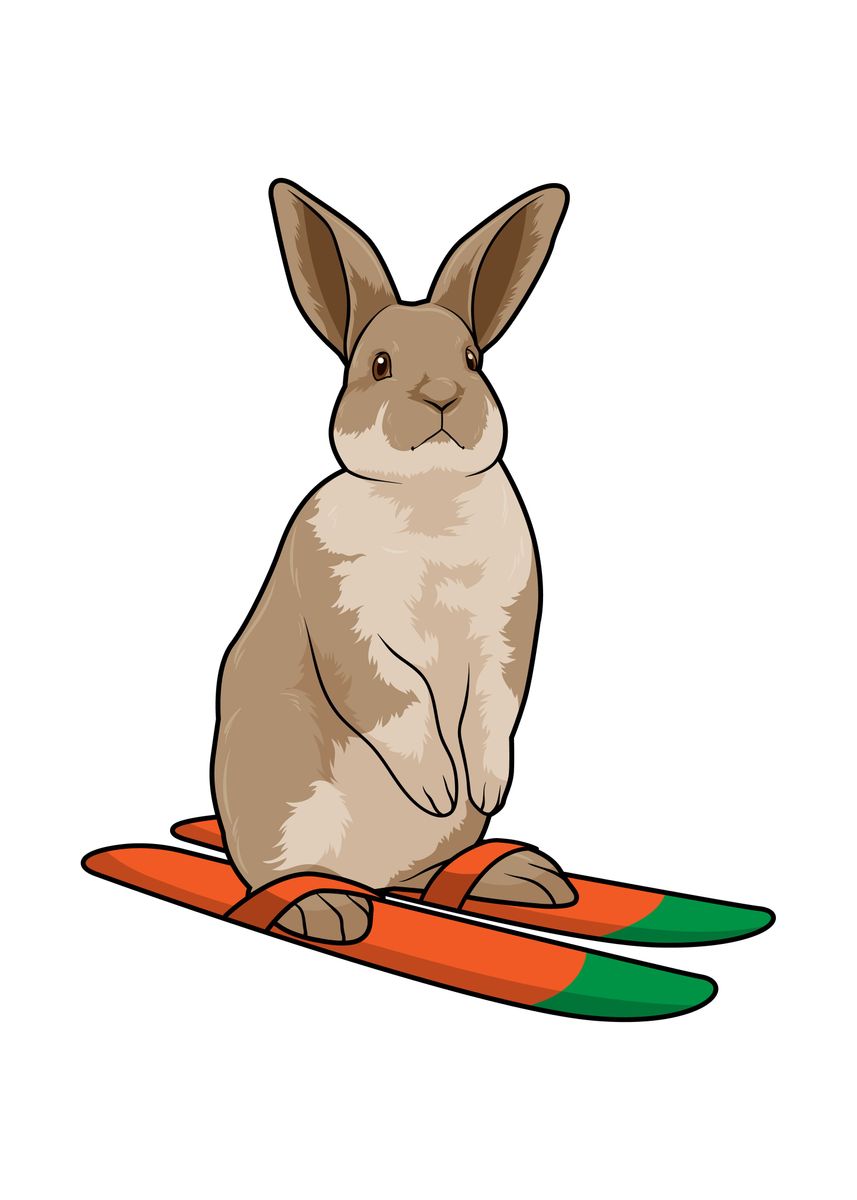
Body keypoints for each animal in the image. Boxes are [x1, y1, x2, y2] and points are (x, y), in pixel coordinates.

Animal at [211, 180, 573, 943]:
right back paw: (320, 906)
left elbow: (496, 703)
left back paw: (511, 878)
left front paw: (485, 784)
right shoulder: (349, 622)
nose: (442, 397)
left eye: (472, 360)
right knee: (274, 880)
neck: (427, 494)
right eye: (378, 365)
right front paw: (439, 785)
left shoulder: (506, 630)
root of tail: (375, 881)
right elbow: (395, 698)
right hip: (281, 783)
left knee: (425, 878)